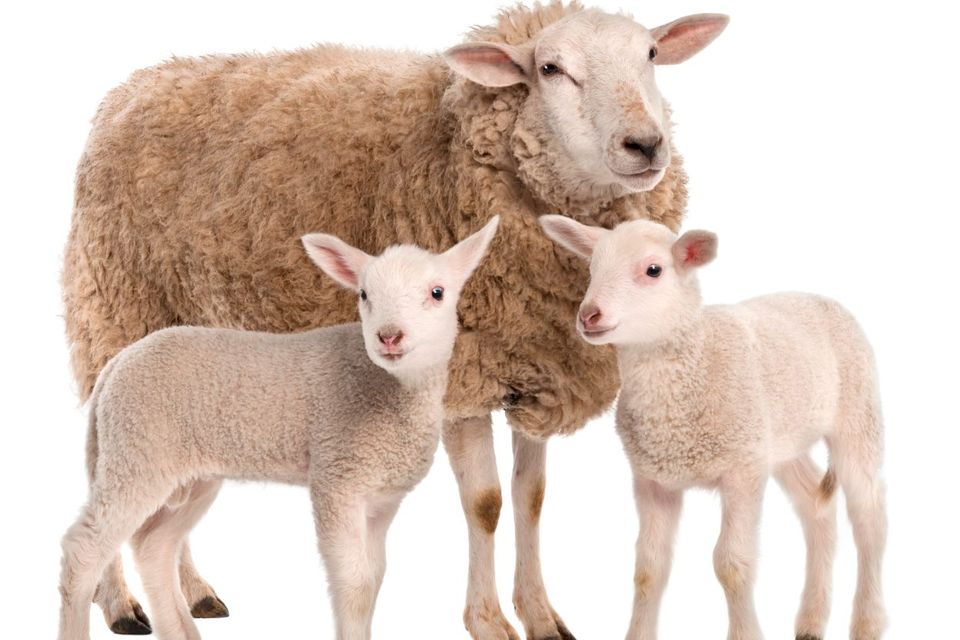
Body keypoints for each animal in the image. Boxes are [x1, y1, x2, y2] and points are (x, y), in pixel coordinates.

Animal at [57, 217, 500, 640]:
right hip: (137, 452)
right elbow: (353, 583)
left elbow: (372, 580)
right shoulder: (337, 478)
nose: (388, 337)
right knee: (84, 551)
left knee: (154, 546)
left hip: (186, 473)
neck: (388, 388)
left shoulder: (381, 498)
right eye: (363, 294)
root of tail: (117, 365)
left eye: (438, 292)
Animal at [539, 215, 887, 640]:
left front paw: (746, 633)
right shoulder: (653, 480)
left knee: (870, 517)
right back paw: (810, 621)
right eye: (591, 269)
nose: (589, 315)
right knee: (816, 508)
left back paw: (868, 621)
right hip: (778, 440)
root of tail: (817, 296)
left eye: (653, 270)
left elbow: (731, 564)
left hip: (857, 413)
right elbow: (648, 569)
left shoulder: (741, 472)